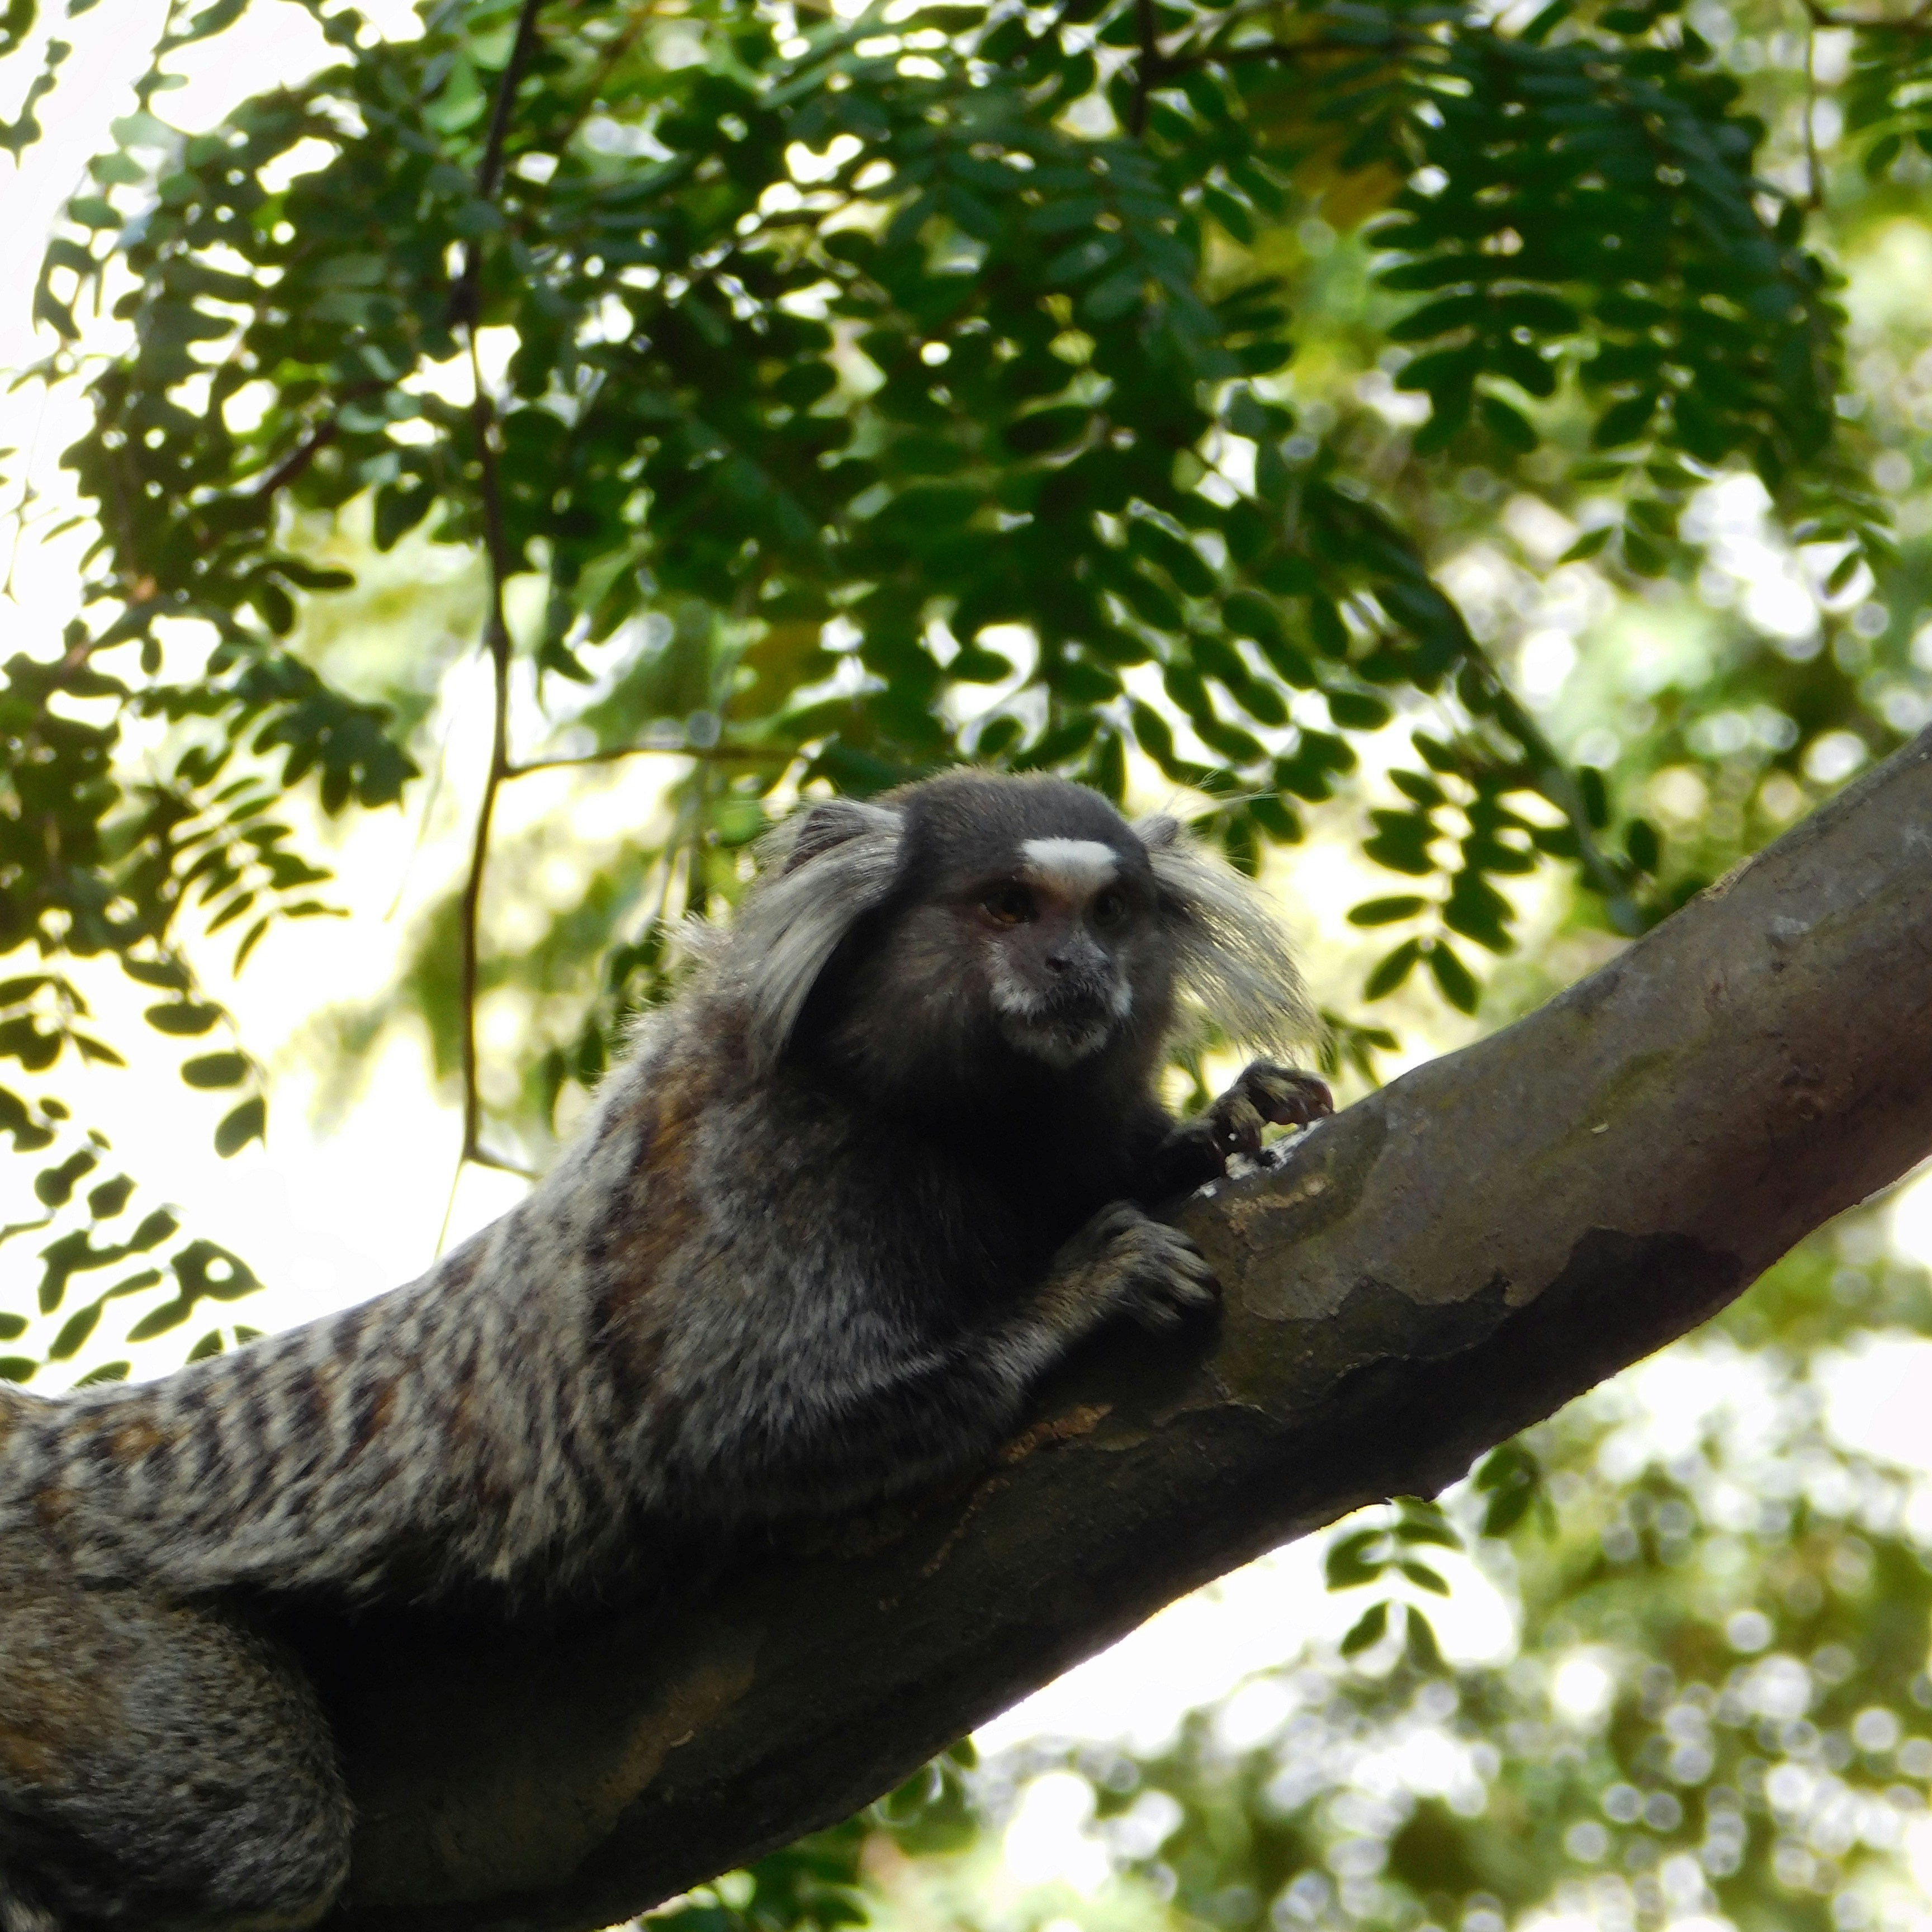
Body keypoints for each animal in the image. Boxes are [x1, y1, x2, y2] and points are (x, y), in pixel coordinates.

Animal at [0, 769, 1332, 1932]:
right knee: (262, 1837)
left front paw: (1212, 1130)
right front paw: (1075, 1297)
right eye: (1009, 907)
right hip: (72, 1634)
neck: (943, 1117)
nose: (1076, 968)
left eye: (1108, 914)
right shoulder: (758, 1164)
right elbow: (735, 1432)